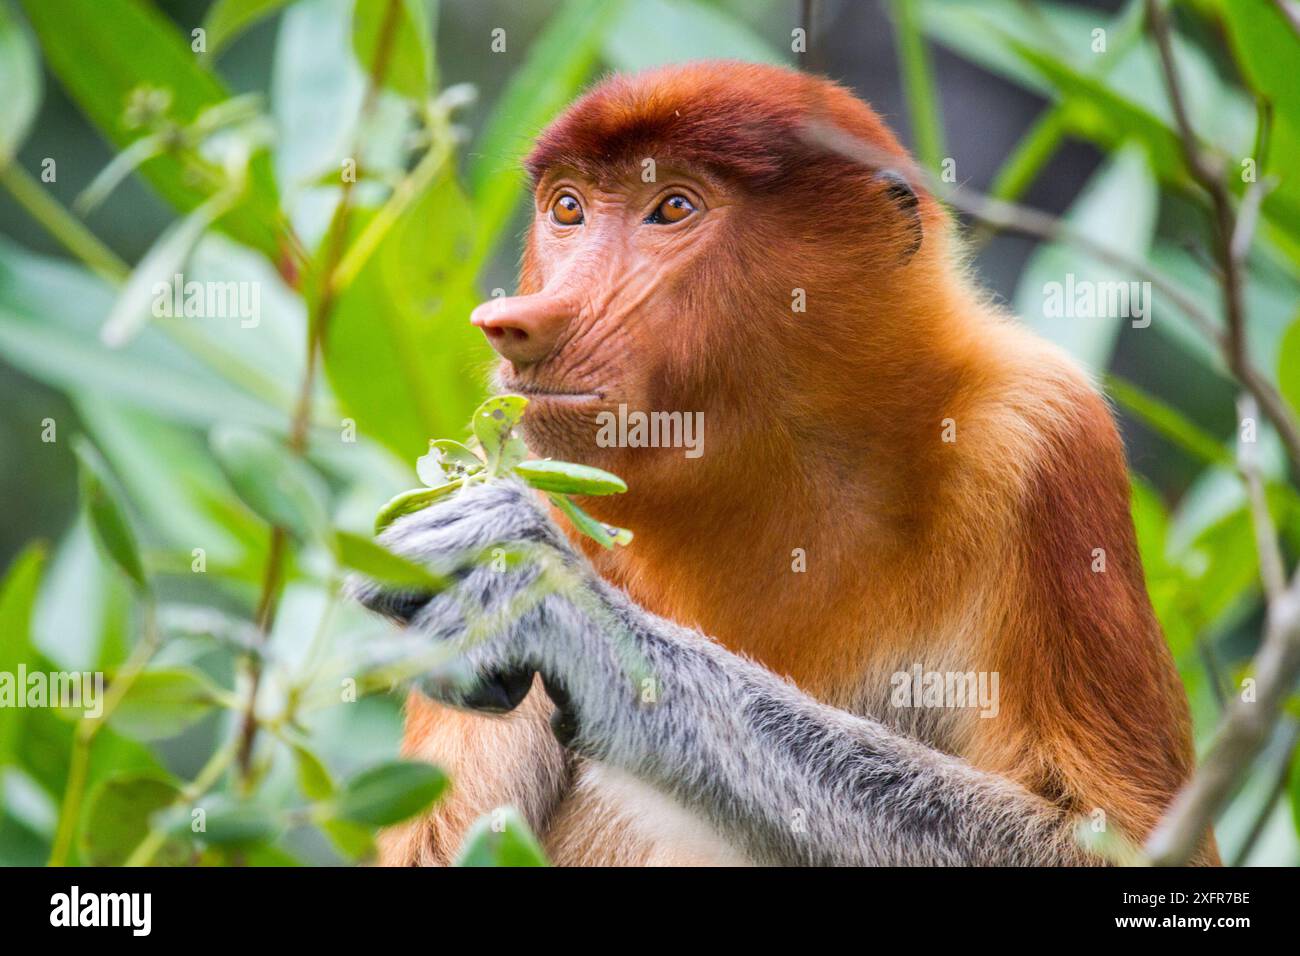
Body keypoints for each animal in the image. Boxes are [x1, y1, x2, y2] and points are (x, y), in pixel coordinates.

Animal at [352, 61, 1219, 866]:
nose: (518, 323)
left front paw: (558, 609)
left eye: (673, 208)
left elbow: (1108, 835)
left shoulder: (1046, 434)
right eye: (569, 208)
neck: (780, 458)